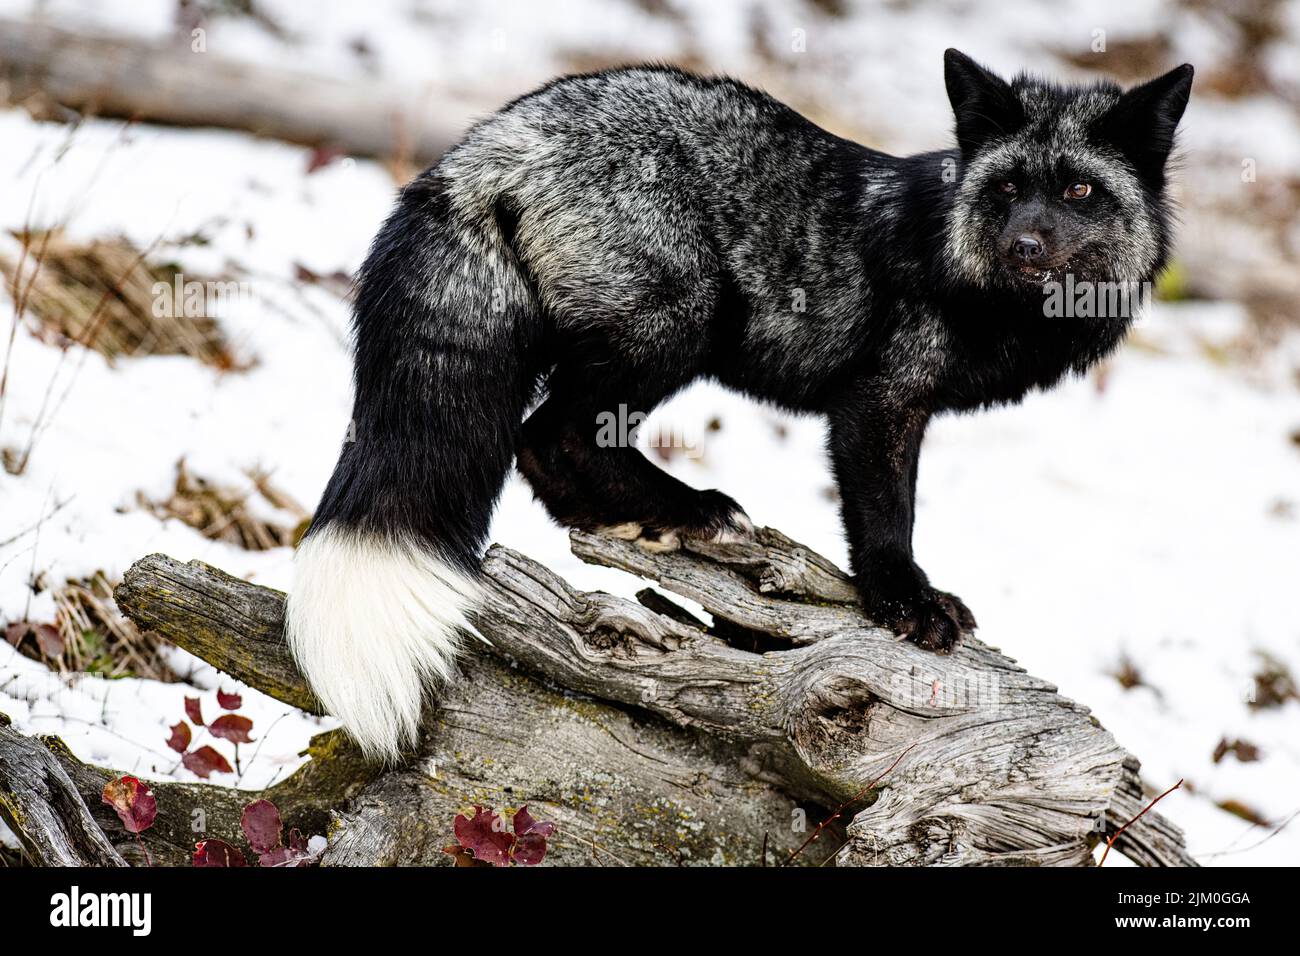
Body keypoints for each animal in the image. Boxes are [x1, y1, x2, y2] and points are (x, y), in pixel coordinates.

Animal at [285, 50, 1194, 761]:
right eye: (1007, 189)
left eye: (1079, 191)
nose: (1026, 246)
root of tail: (491, 140)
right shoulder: (879, 403)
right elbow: (886, 517)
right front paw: (903, 601)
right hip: (681, 320)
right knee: (551, 431)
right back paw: (685, 508)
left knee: (542, 443)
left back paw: (630, 515)